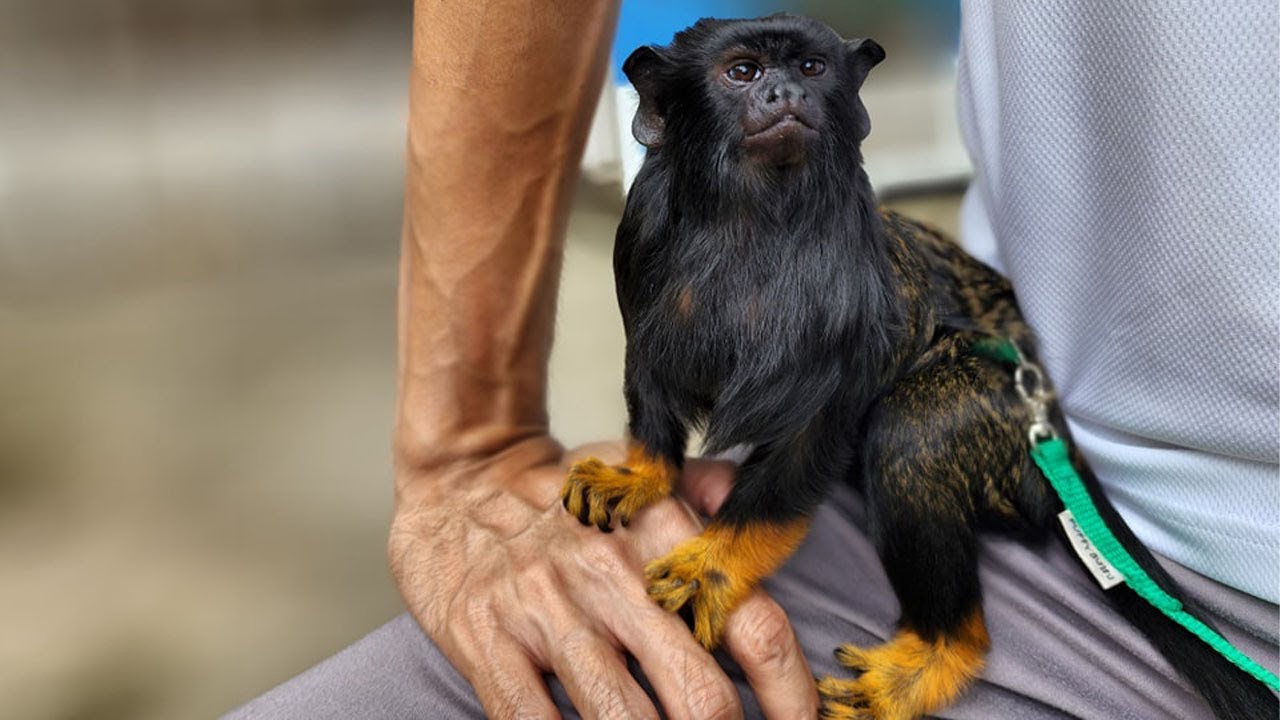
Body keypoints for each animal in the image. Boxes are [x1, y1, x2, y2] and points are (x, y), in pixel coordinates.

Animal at [560, 14, 1278, 720]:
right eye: (742, 72)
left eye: (811, 69)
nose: (785, 94)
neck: (748, 231)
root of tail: (1047, 413)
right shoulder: (643, 255)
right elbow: (651, 381)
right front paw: (641, 473)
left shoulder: (842, 327)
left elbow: (803, 454)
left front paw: (713, 566)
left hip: (989, 409)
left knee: (909, 432)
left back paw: (930, 661)